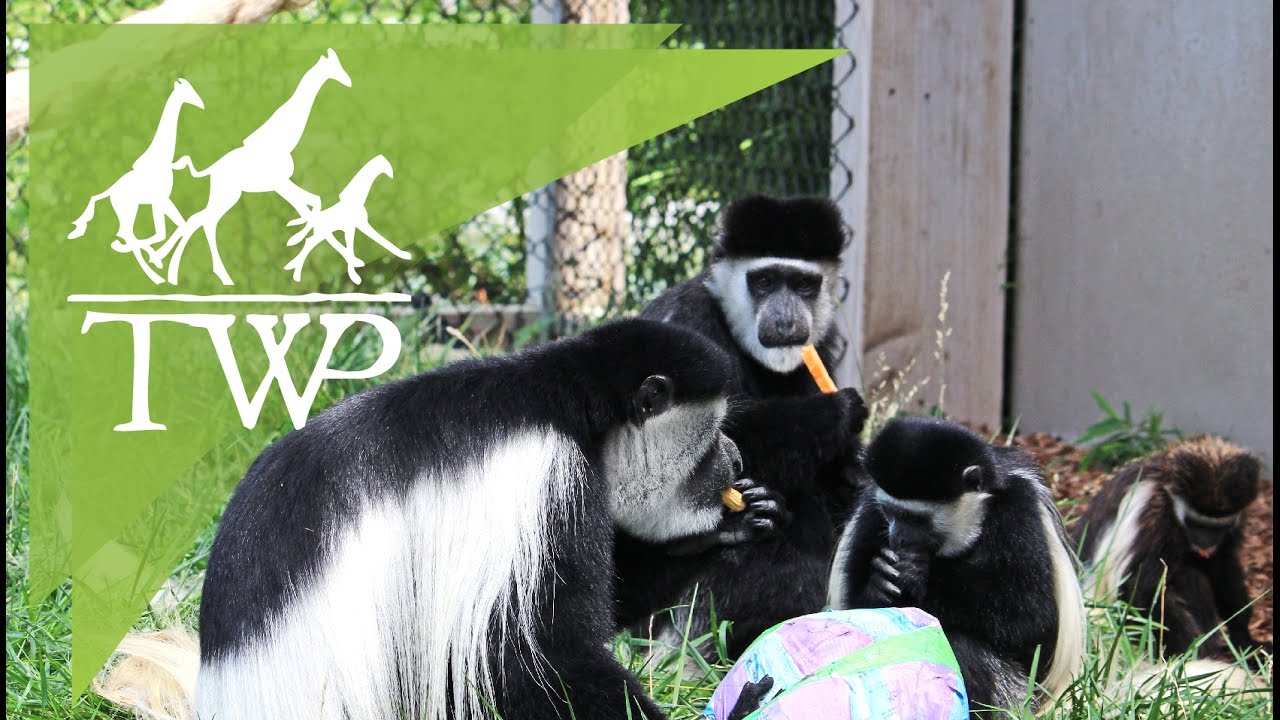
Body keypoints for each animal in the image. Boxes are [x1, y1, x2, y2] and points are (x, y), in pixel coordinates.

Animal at [187, 319, 772, 720]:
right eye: (711, 435)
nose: (736, 459)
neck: (568, 405)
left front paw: (722, 528)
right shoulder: (546, 480)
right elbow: (536, 653)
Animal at [616, 194, 869, 661]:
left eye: (804, 285)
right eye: (765, 281)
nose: (786, 321)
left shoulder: (820, 347)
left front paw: (857, 467)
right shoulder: (686, 328)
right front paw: (838, 411)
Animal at [828, 417, 1087, 715]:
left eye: (916, 519)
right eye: (890, 512)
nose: (896, 538)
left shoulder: (1021, 512)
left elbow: (1030, 616)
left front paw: (920, 574)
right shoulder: (870, 512)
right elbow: (856, 609)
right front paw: (880, 582)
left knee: (965, 646)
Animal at [1073, 436, 1270, 666]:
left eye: (1217, 528)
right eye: (1195, 524)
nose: (1204, 543)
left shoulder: (1233, 523)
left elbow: (1222, 566)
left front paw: (1245, 641)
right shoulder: (1152, 513)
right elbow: (1141, 587)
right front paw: (1190, 656)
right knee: (1188, 579)